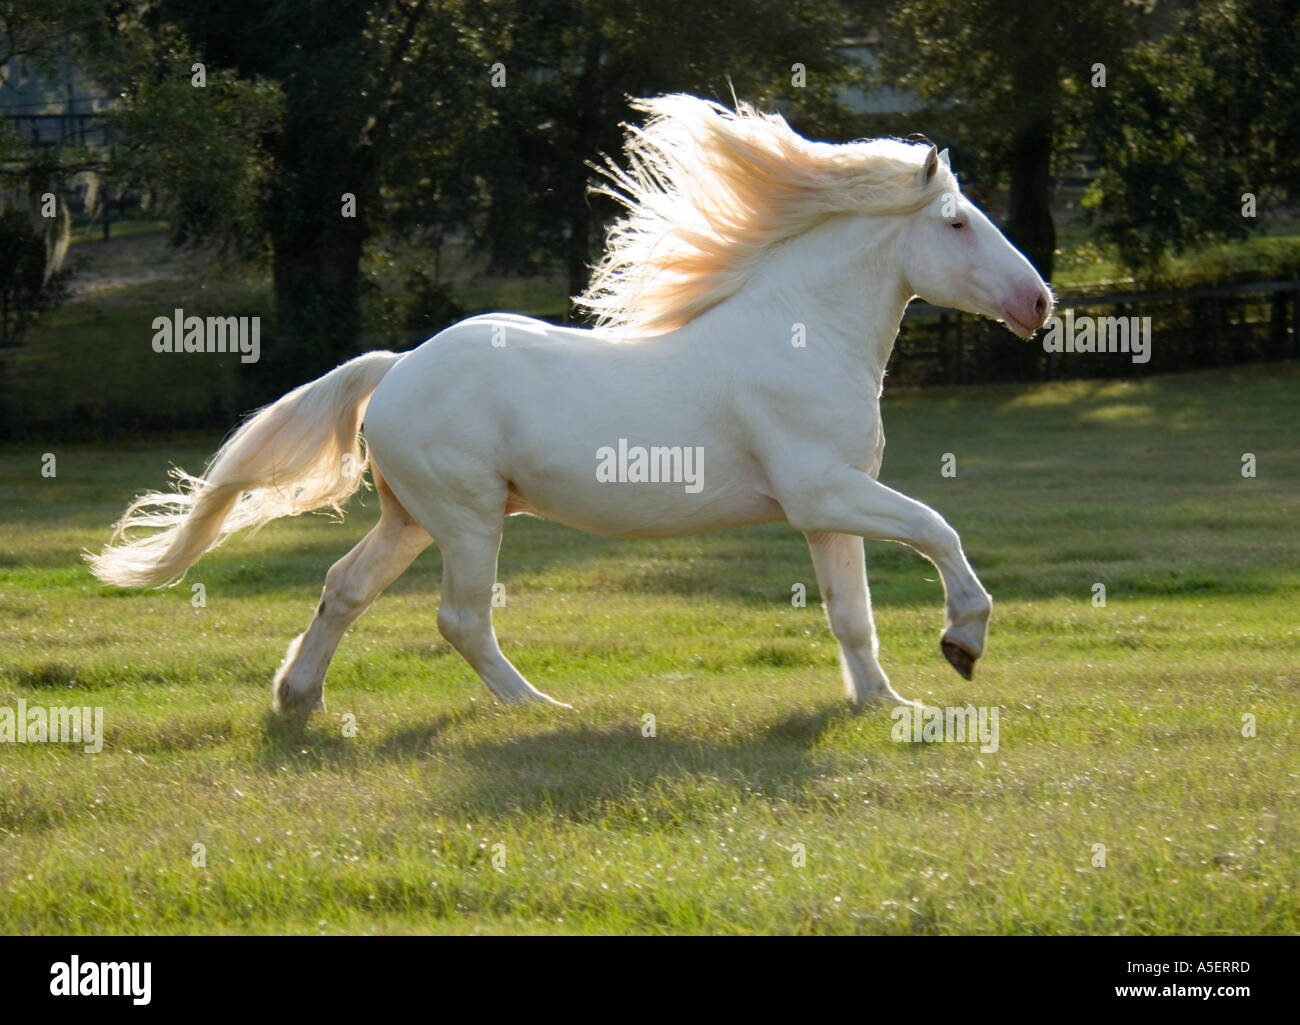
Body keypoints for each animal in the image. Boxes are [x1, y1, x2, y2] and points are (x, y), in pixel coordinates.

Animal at [89, 94, 1053, 717]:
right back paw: (538, 706)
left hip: (411, 517)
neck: (801, 337)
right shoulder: (825, 490)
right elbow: (938, 530)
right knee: (461, 619)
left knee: (343, 588)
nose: (1039, 303)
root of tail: (396, 367)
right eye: (958, 222)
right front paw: (962, 645)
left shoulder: (823, 509)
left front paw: (887, 702)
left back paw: (296, 699)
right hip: (469, 518)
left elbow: (852, 615)